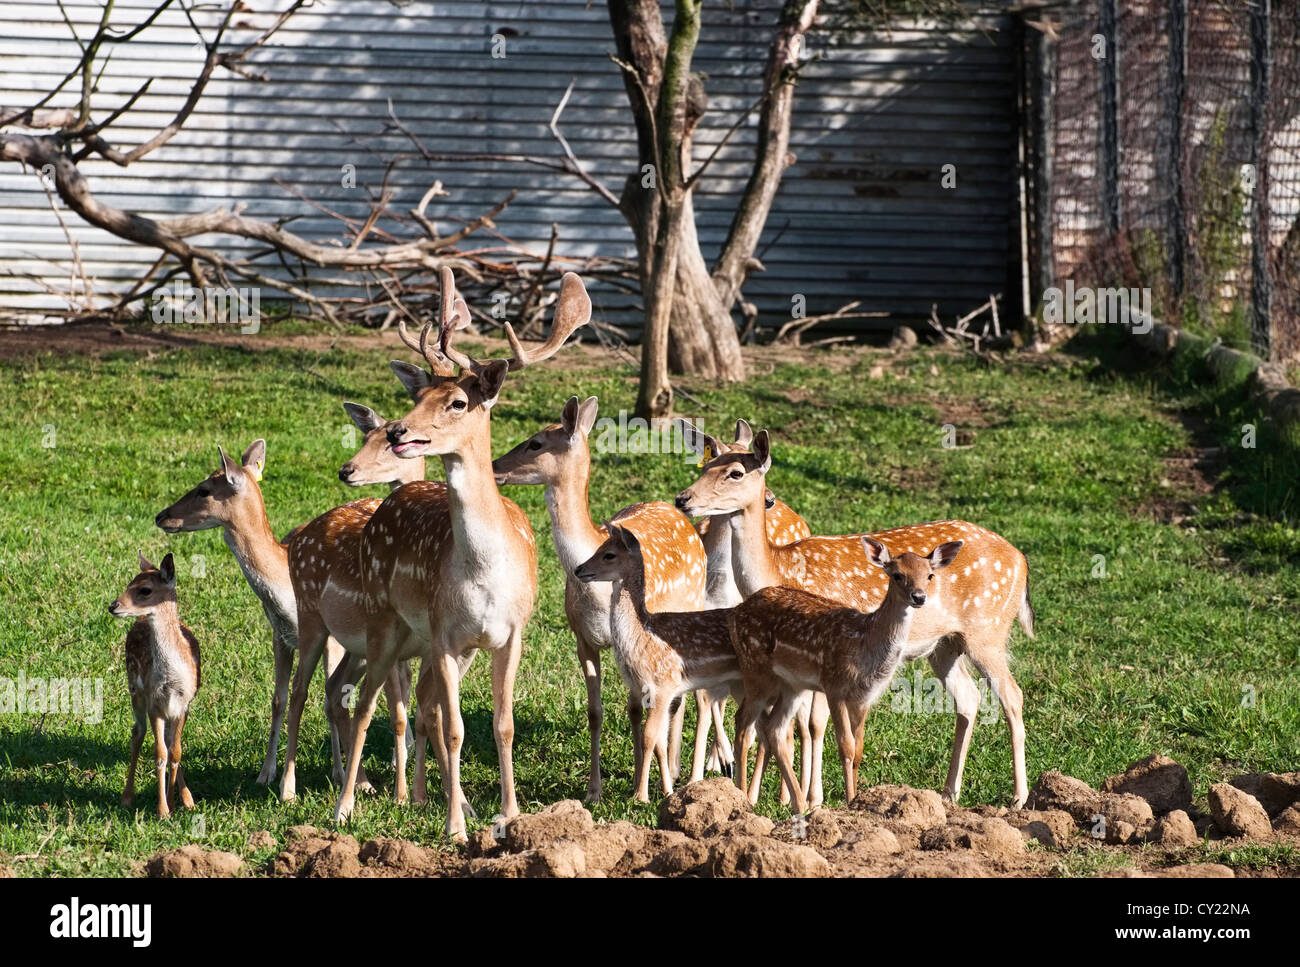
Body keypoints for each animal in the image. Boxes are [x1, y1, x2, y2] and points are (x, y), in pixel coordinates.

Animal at [108, 552, 201, 819]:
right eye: (129, 583)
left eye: (145, 590)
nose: (113, 606)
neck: (172, 677)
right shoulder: (154, 702)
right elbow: (159, 754)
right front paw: (163, 810)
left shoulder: (183, 703)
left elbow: (175, 752)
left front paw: (175, 802)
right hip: (135, 691)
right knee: (137, 732)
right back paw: (127, 796)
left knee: (170, 744)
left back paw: (187, 798)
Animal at [333, 267, 589, 841]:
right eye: (421, 392)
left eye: (456, 402)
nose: (399, 430)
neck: (483, 573)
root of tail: (393, 497)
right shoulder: (448, 634)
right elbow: (455, 729)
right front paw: (455, 829)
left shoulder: (510, 633)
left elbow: (503, 724)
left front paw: (508, 816)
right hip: (385, 621)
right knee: (364, 705)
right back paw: (346, 807)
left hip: (428, 641)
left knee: (420, 706)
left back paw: (431, 798)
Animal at [492, 395, 718, 803]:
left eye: (535, 443)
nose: (494, 465)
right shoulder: (583, 637)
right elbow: (599, 712)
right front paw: (595, 791)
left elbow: (640, 710)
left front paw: (644, 786)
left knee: (696, 698)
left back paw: (691, 778)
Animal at [574, 524, 744, 802]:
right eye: (599, 547)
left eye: (609, 554)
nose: (579, 569)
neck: (641, 635)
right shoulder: (652, 691)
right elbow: (660, 743)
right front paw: (667, 792)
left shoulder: (663, 684)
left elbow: (649, 736)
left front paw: (640, 796)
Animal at [730, 538, 963, 814]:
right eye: (897, 575)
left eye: (929, 575)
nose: (918, 596)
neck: (865, 645)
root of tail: (735, 613)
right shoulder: (834, 686)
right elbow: (846, 747)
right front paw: (851, 801)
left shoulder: (864, 698)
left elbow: (859, 750)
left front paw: (857, 800)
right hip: (756, 669)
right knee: (743, 725)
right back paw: (744, 798)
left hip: (792, 685)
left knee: (773, 728)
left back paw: (800, 805)